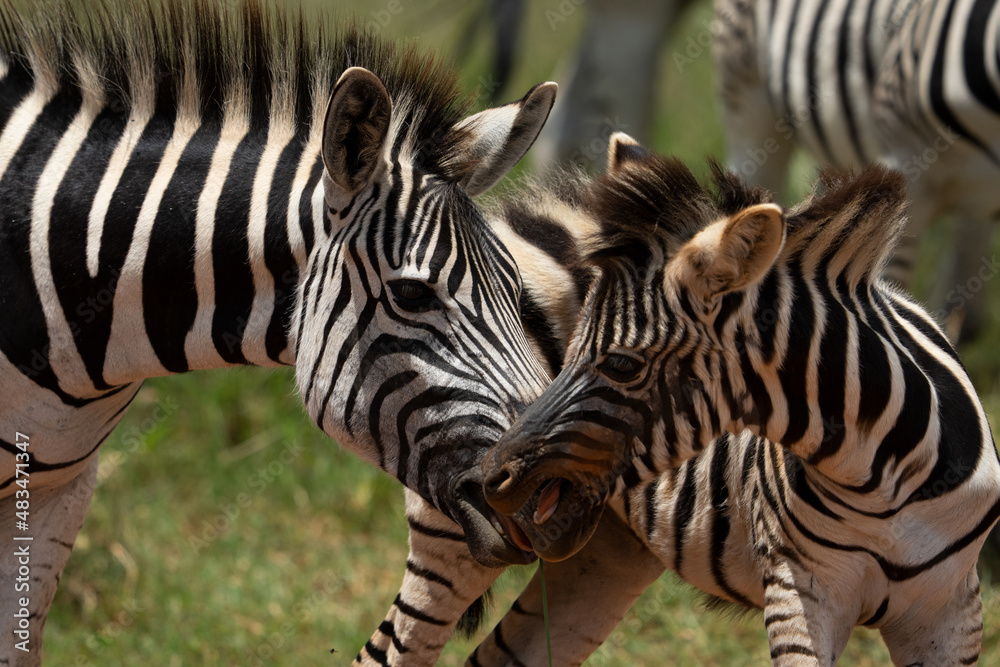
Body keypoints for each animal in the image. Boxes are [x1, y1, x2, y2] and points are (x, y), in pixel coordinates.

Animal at [482, 133, 1000, 664]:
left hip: (605, 553)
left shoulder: (950, 609)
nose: (492, 477)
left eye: (622, 365)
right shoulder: (800, 590)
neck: (878, 486)